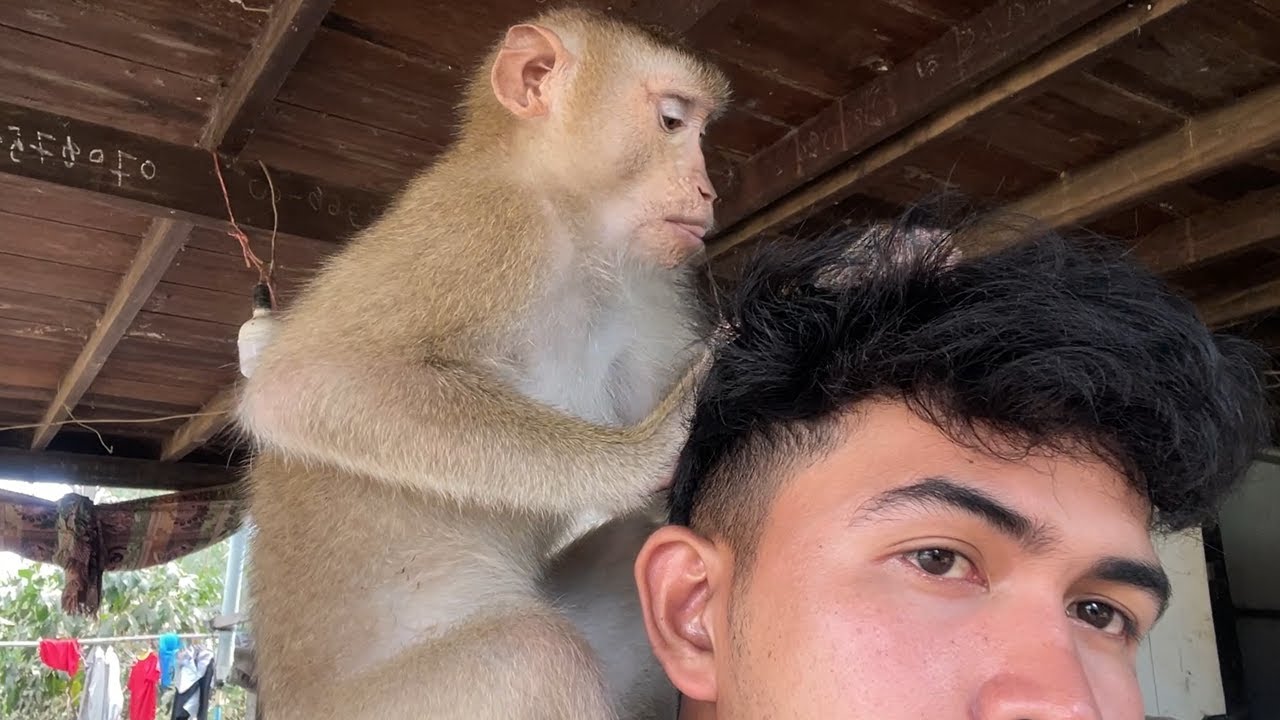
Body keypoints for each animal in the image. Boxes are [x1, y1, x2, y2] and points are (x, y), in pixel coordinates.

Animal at [234, 7, 730, 720]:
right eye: (671, 120)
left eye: (699, 129)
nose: (707, 189)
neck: (574, 226)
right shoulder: (485, 225)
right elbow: (304, 383)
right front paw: (648, 453)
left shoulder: (653, 287)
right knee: (536, 657)